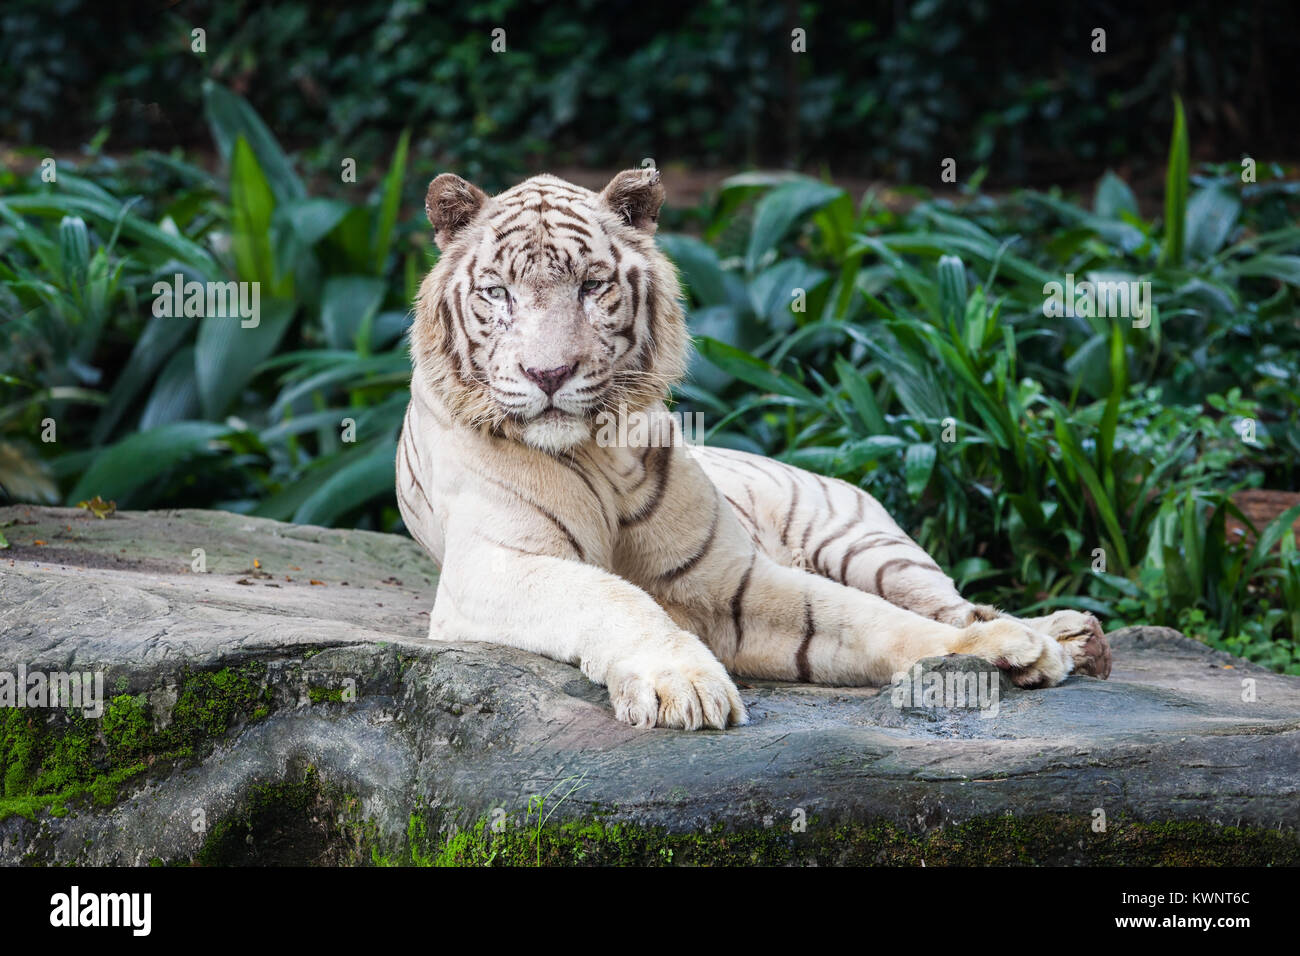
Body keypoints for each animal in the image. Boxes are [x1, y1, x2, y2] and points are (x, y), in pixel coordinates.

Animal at [395, 168, 1112, 731]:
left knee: (947, 597)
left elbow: (861, 618)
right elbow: (611, 597)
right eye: (498, 292)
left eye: (593, 286)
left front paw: (1006, 647)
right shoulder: (495, 567)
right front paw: (683, 684)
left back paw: (1069, 634)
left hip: (871, 547)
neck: (601, 451)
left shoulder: (727, 576)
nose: (548, 374)